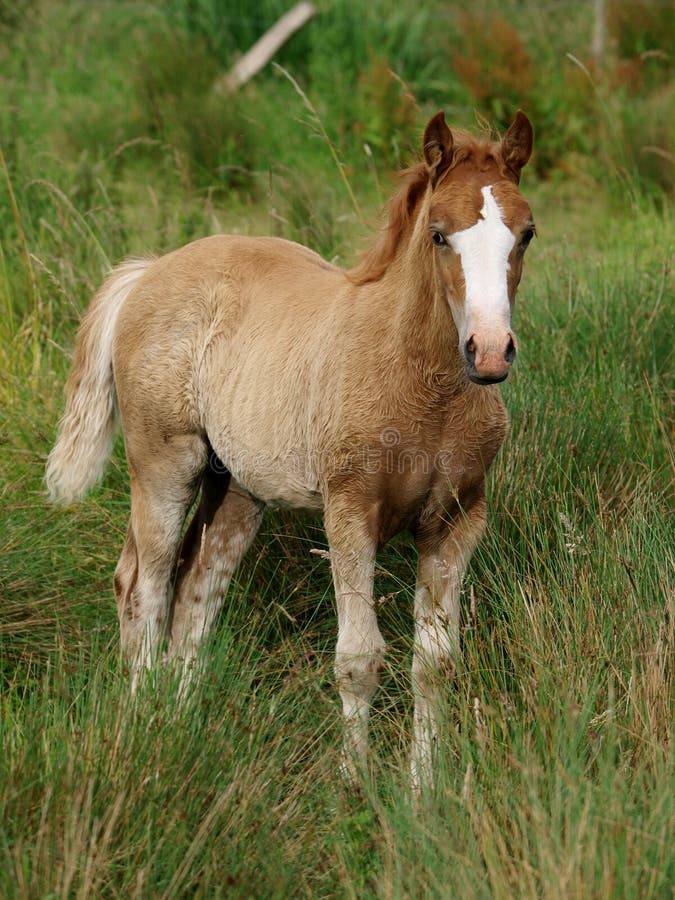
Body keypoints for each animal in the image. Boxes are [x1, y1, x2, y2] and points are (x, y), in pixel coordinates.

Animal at [46, 110, 535, 788]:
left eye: (526, 234)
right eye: (439, 235)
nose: (489, 352)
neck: (421, 386)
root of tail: (151, 269)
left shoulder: (458, 519)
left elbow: (435, 663)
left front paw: (423, 787)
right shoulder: (349, 513)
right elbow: (359, 657)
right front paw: (356, 784)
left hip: (236, 489)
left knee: (196, 593)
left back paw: (180, 721)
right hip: (163, 467)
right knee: (143, 586)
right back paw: (142, 723)